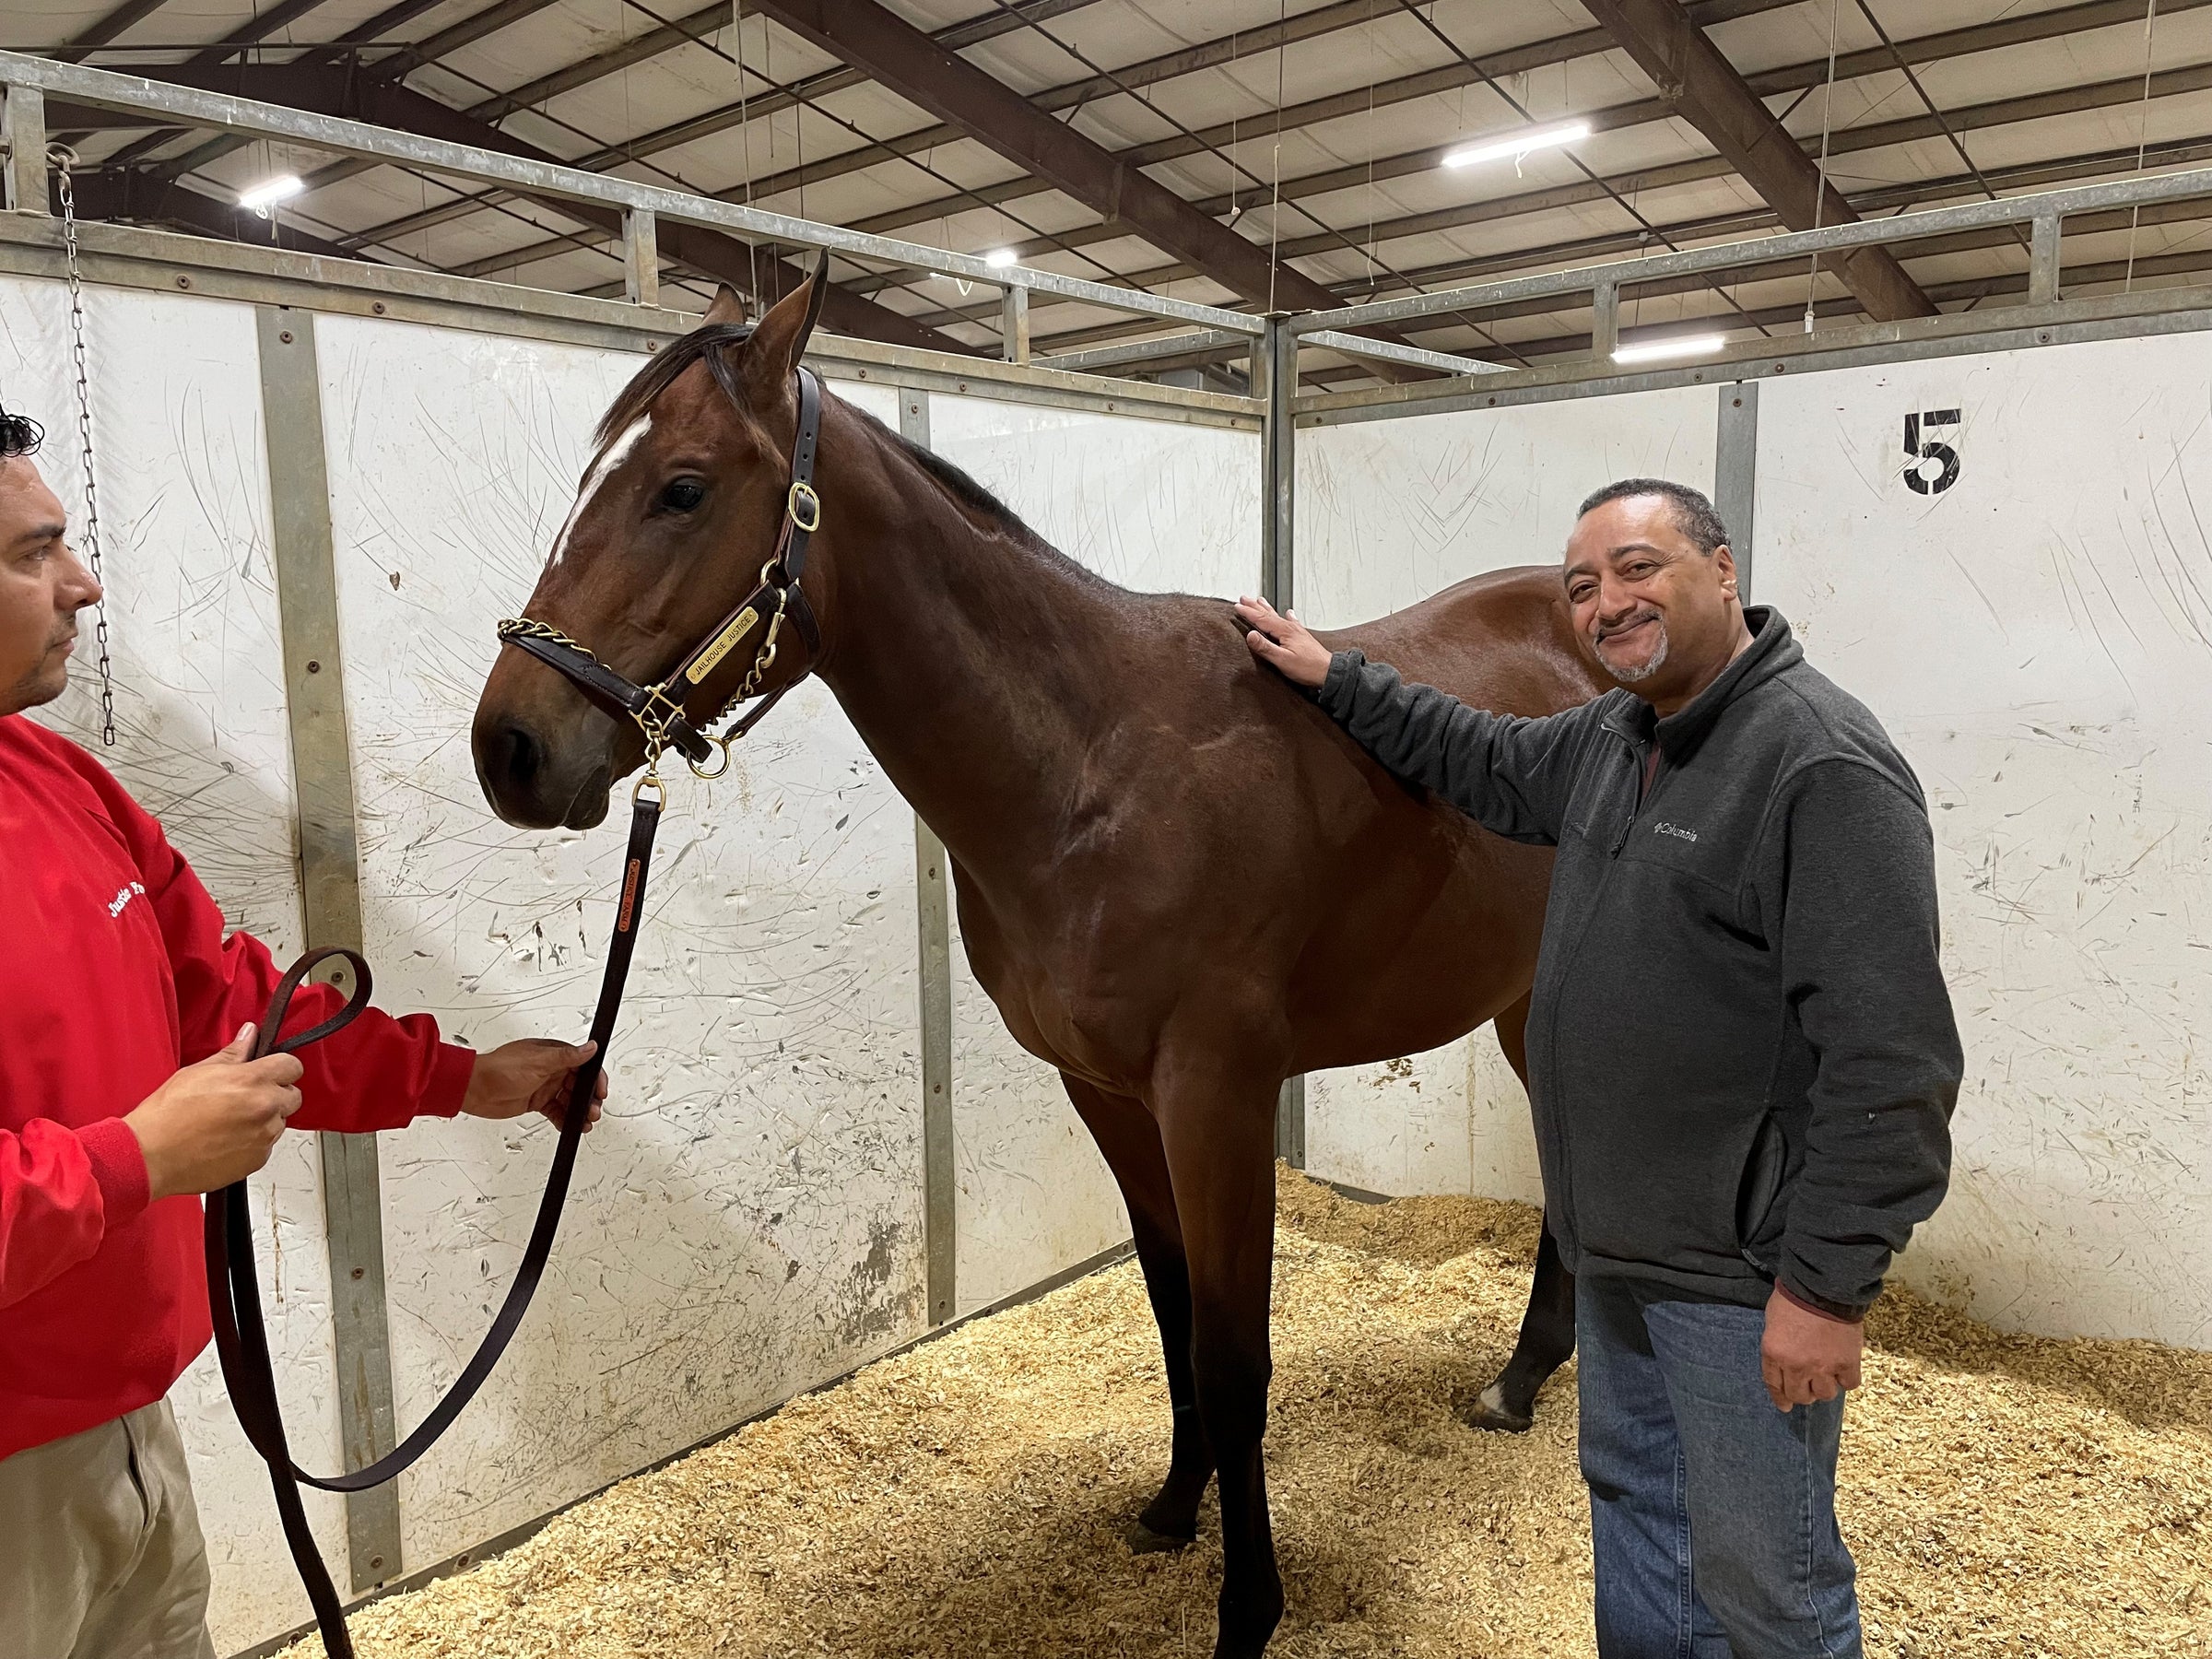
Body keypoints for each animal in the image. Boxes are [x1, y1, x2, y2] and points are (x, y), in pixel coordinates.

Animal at [471, 269, 1610, 1658]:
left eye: (680, 488)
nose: (509, 747)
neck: (1091, 765)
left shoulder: (1218, 1098)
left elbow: (1235, 1356)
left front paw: (1249, 1608)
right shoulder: (1106, 1091)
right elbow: (1171, 1313)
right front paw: (1174, 1508)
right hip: (1521, 1002)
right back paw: (1522, 1377)